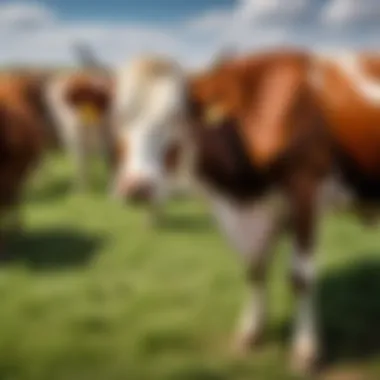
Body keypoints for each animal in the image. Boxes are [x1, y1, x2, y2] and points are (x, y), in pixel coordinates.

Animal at [107, 49, 380, 376]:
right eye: (117, 116)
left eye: (176, 117)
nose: (136, 187)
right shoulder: (258, 211)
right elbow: (254, 268)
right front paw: (251, 333)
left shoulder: (306, 191)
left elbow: (300, 278)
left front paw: (305, 351)